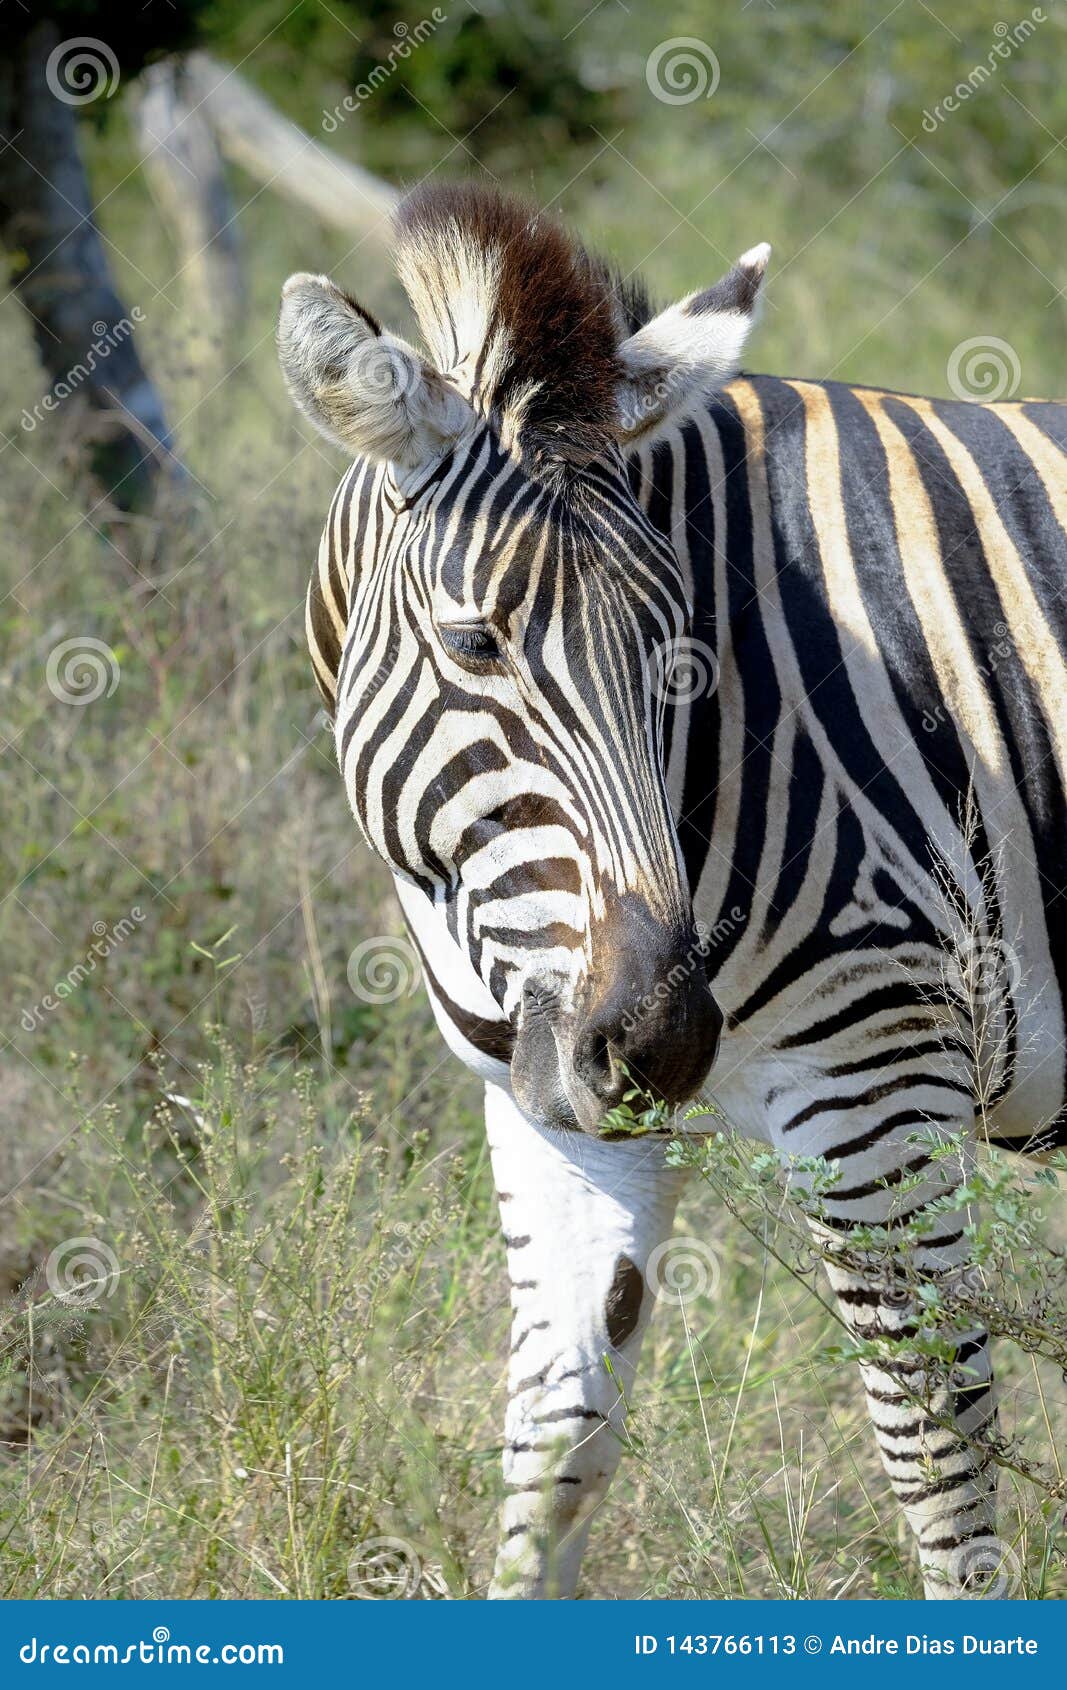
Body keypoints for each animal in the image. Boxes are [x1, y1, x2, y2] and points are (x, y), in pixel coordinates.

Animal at [277, 182, 1067, 1600]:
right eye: (473, 641)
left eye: (678, 647)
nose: (659, 1039)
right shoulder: (554, 1115)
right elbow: (554, 1444)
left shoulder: (879, 1086)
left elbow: (939, 1464)